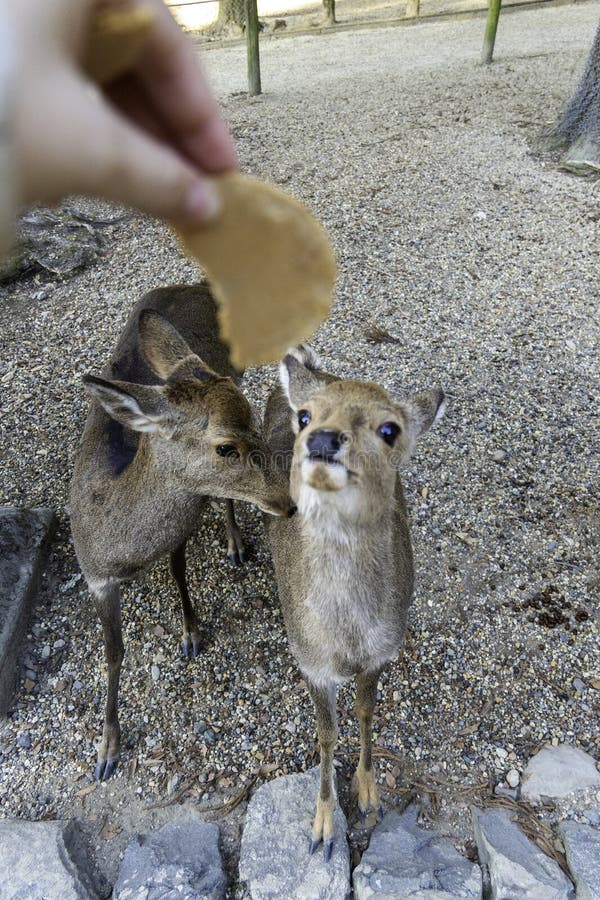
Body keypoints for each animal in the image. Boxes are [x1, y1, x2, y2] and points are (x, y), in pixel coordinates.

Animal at [70, 282, 294, 781]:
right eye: (225, 447)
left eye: (256, 426)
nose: (288, 502)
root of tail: (198, 286)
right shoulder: (94, 576)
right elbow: (113, 652)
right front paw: (106, 751)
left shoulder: (178, 532)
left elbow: (178, 573)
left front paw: (191, 634)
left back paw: (234, 543)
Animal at [263, 344, 445, 860]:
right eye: (305, 416)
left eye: (390, 429)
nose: (322, 438)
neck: (346, 636)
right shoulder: (309, 661)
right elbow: (326, 733)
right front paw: (323, 828)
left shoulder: (383, 650)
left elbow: (365, 710)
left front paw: (368, 792)